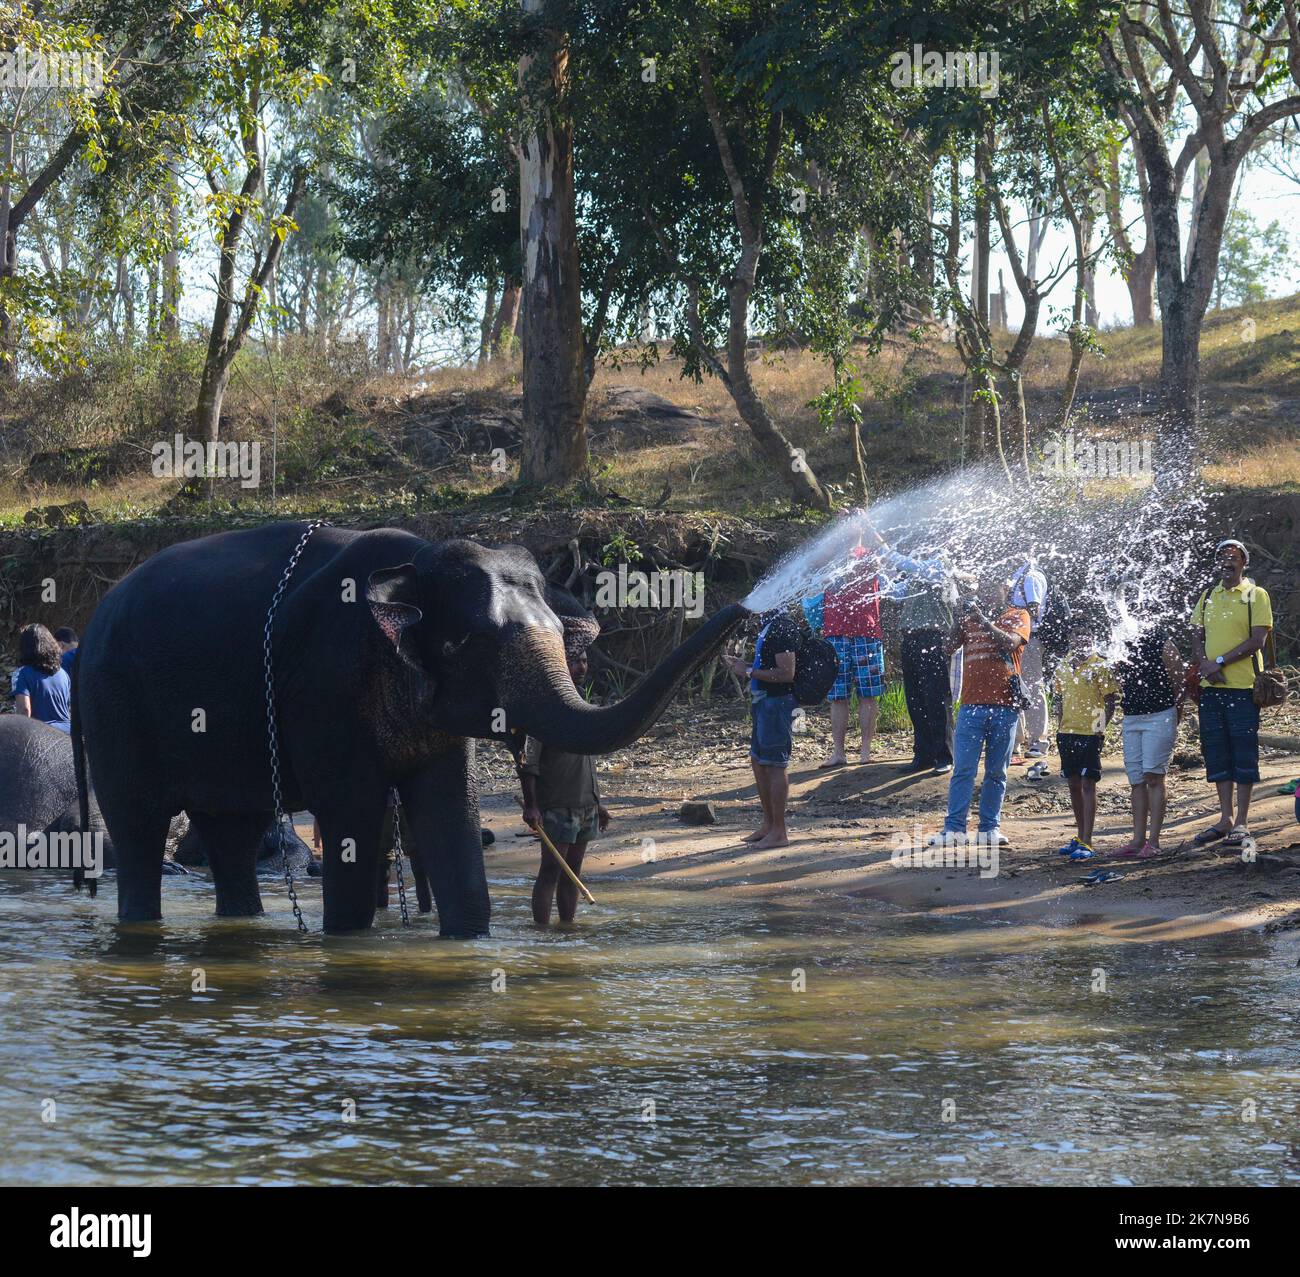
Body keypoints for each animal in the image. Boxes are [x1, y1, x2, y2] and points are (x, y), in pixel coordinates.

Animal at [73, 522, 745, 934]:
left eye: (559, 632)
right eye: (466, 643)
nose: (744, 607)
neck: (415, 563)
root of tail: (91, 620)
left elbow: (450, 811)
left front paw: (468, 938)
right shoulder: (321, 683)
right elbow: (353, 811)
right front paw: (347, 939)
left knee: (231, 831)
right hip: (114, 708)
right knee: (139, 825)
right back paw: (141, 930)